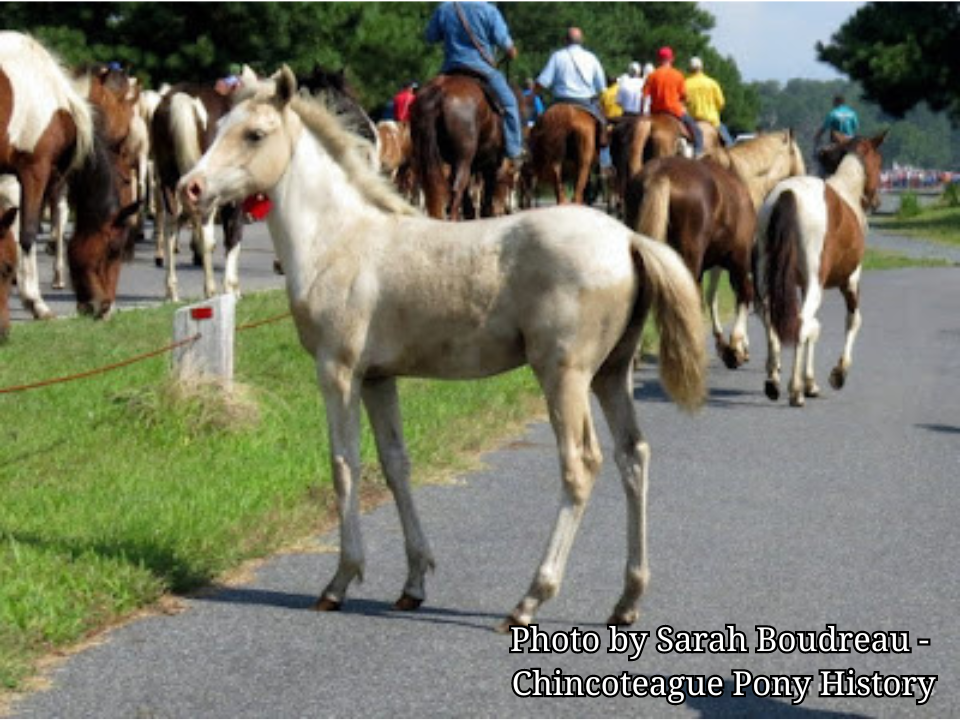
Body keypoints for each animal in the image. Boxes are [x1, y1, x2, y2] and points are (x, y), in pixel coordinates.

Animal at [410, 73, 510, 220]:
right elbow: (486, 194)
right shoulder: (490, 165)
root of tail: (440, 90)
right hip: (464, 159)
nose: (502, 210)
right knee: (458, 187)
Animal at [625, 131, 807, 369]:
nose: (803, 177)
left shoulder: (715, 264)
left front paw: (730, 345)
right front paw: (738, 348)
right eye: (796, 154)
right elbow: (748, 296)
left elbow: (713, 297)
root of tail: (660, 175)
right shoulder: (740, 259)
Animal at [755, 132, 886, 407]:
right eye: (879, 162)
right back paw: (794, 391)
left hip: (765, 279)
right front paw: (838, 373)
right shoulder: (851, 281)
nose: (876, 201)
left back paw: (773, 381)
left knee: (770, 318)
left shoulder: (801, 285)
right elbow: (852, 320)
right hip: (816, 284)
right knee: (802, 322)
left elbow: (813, 331)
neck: (847, 190)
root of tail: (787, 193)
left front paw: (810, 382)